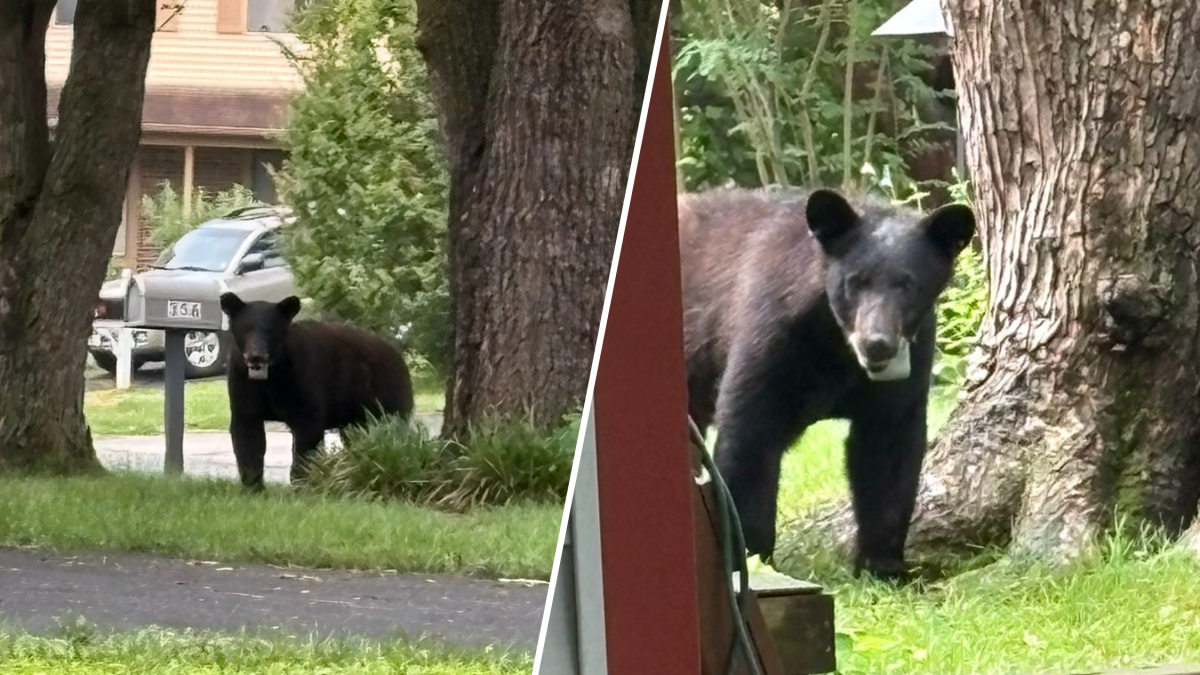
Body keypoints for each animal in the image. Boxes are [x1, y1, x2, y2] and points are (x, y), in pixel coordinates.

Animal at [219, 293, 415, 491]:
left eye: (270, 330)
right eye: (246, 328)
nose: (255, 356)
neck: (271, 375)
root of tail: (398, 356)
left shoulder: (302, 379)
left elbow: (307, 430)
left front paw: (302, 483)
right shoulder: (242, 384)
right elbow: (248, 433)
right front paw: (253, 486)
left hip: (385, 393)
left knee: (391, 426)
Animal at [679, 187, 975, 582]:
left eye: (908, 284)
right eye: (855, 281)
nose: (877, 344)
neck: (837, 348)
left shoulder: (910, 364)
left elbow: (888, 452)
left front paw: (885, 566)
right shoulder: (771, 339)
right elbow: (750, 438)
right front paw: (753, 559)